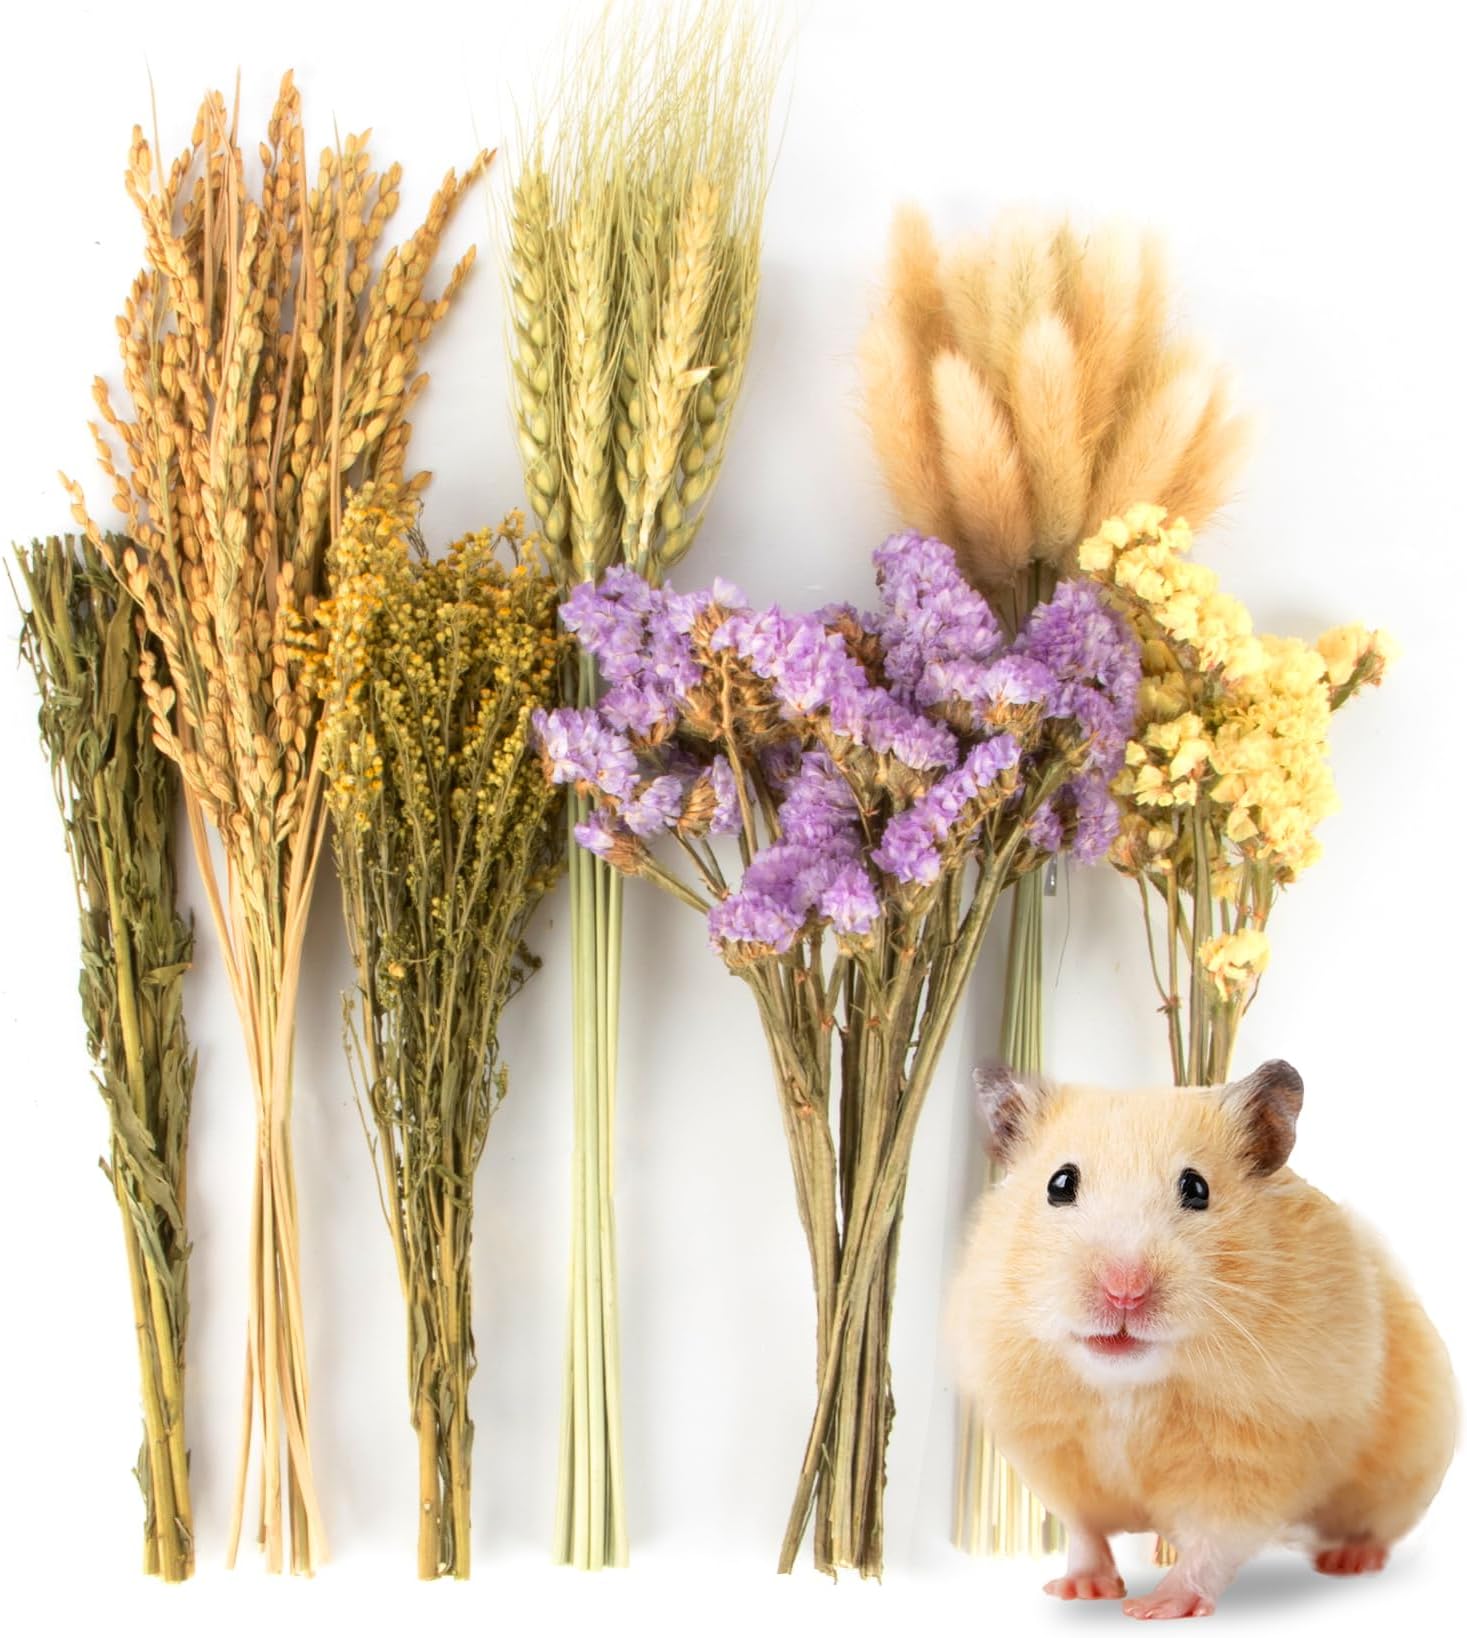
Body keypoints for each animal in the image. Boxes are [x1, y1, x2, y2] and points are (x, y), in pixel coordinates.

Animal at [947, 1059, 1457, 1619]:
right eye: (1059, 1184)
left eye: (1196, 1188)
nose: (1125, 1291)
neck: (1127, 1386)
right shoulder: (1052, 1454)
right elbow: (1082, 1531)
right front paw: (1081, 1590)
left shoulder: (1256, 1459)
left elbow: (1214, 1543)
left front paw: (1153, 1608)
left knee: (1374, 1527)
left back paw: (1348, 1560)